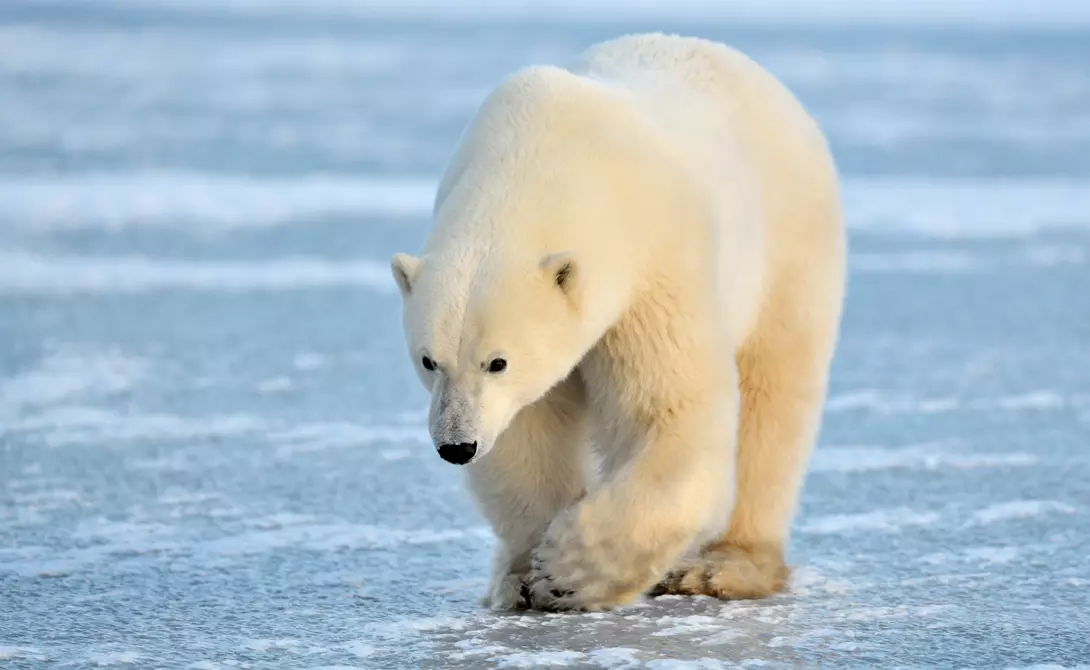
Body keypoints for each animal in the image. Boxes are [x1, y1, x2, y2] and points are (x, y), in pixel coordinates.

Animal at [388, 35, 845, 614]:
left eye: (498, 361)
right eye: (429, 360)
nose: (456, 445)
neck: (545, 155)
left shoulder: (653, 268)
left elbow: (668, 411)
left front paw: (567, 570)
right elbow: (525, 435)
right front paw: (526, 575)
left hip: (788, 249)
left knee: (774, 398)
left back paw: (724, 566)